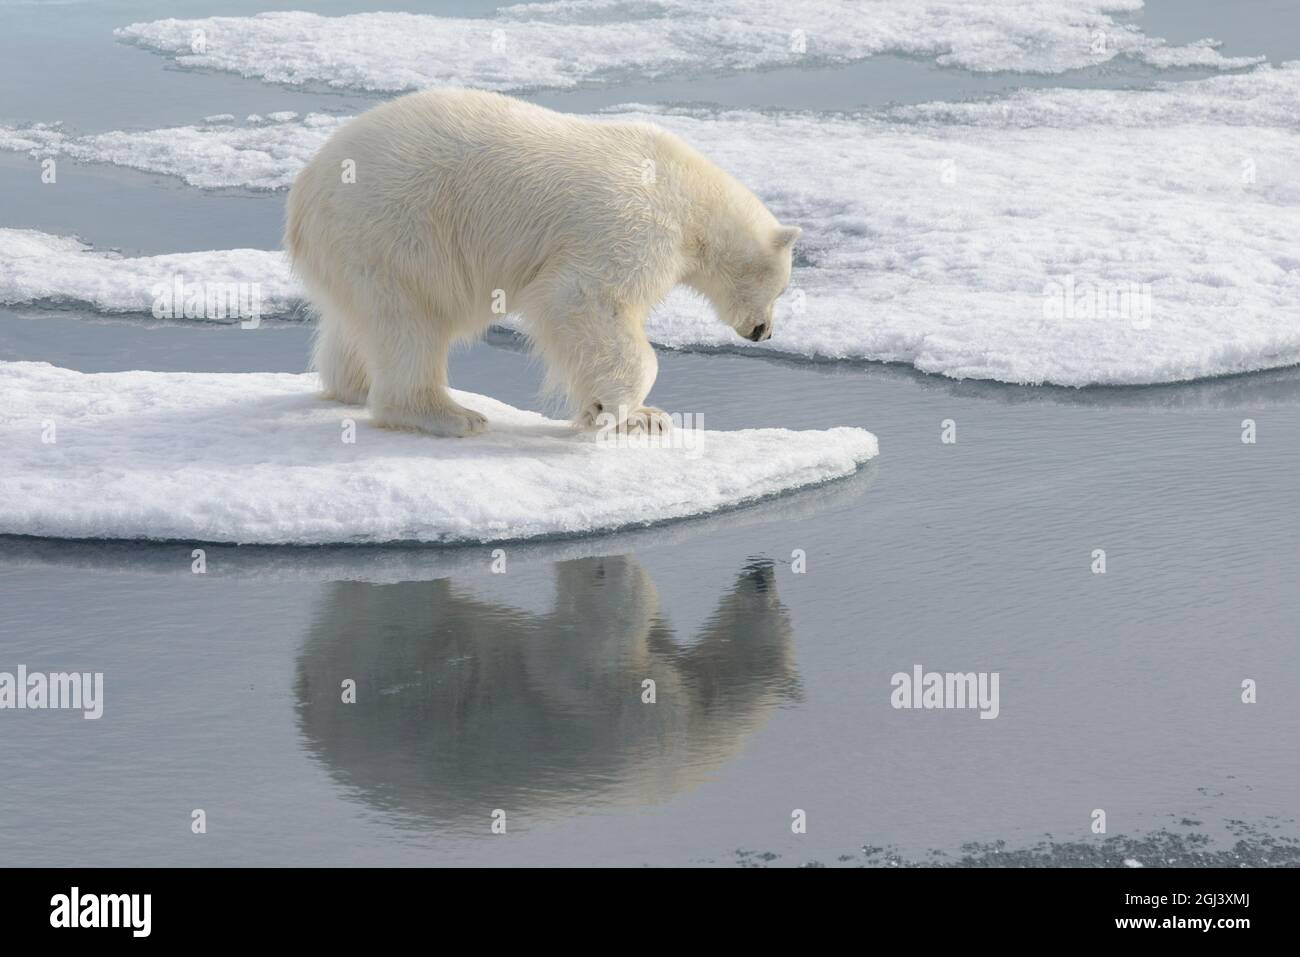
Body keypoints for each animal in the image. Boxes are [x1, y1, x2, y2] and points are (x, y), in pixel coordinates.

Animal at [285, 88, 801, 438]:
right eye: (781, 289)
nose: (764, 332)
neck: (688, 195)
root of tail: (305, 189)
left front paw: (645, 418)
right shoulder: (633, 224)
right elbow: (585, 299)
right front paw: (610, 410)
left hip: (354, 249)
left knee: (357, 323)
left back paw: (350, 385)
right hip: (394, 229)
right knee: (409, 322)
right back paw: (451, 414)